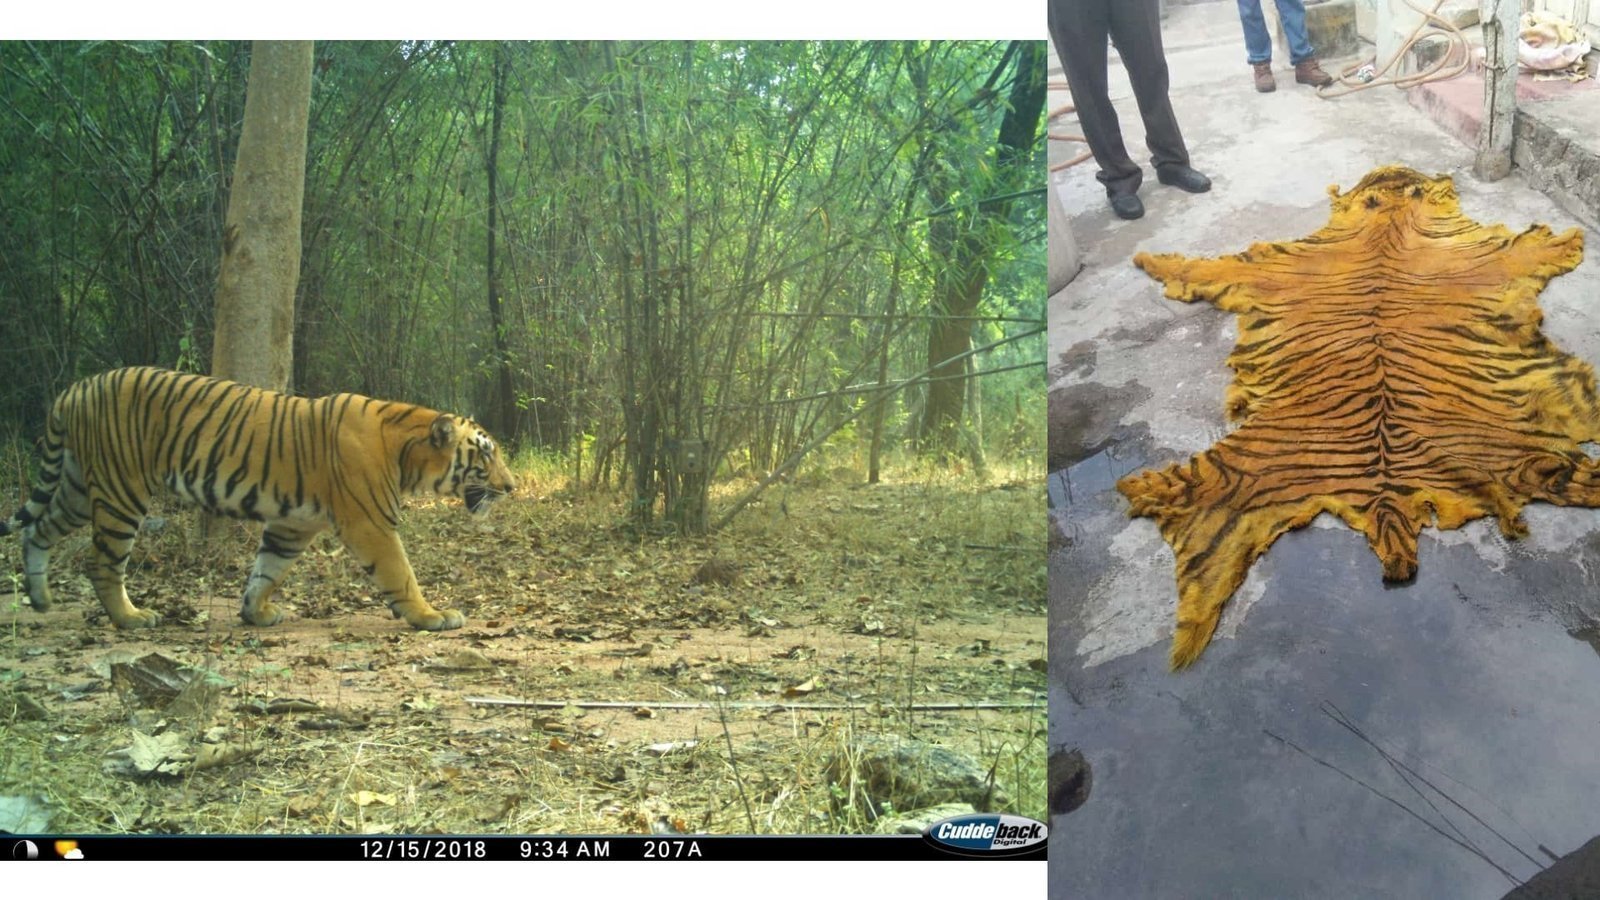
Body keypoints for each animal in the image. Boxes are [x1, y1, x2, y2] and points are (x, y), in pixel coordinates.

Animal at [1, 366, 517, 632]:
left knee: (37, 529)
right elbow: (401, 574)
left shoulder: (293, 524)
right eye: (486, 454)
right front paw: (433, 615)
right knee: (101, 561)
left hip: (79, 487)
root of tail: (76, 387)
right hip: (120, 489)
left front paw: (256, 613)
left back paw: (41, 598)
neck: (406, 452)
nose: (511, 487)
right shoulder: (370, 523)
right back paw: (131, 618)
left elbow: (267, 570)